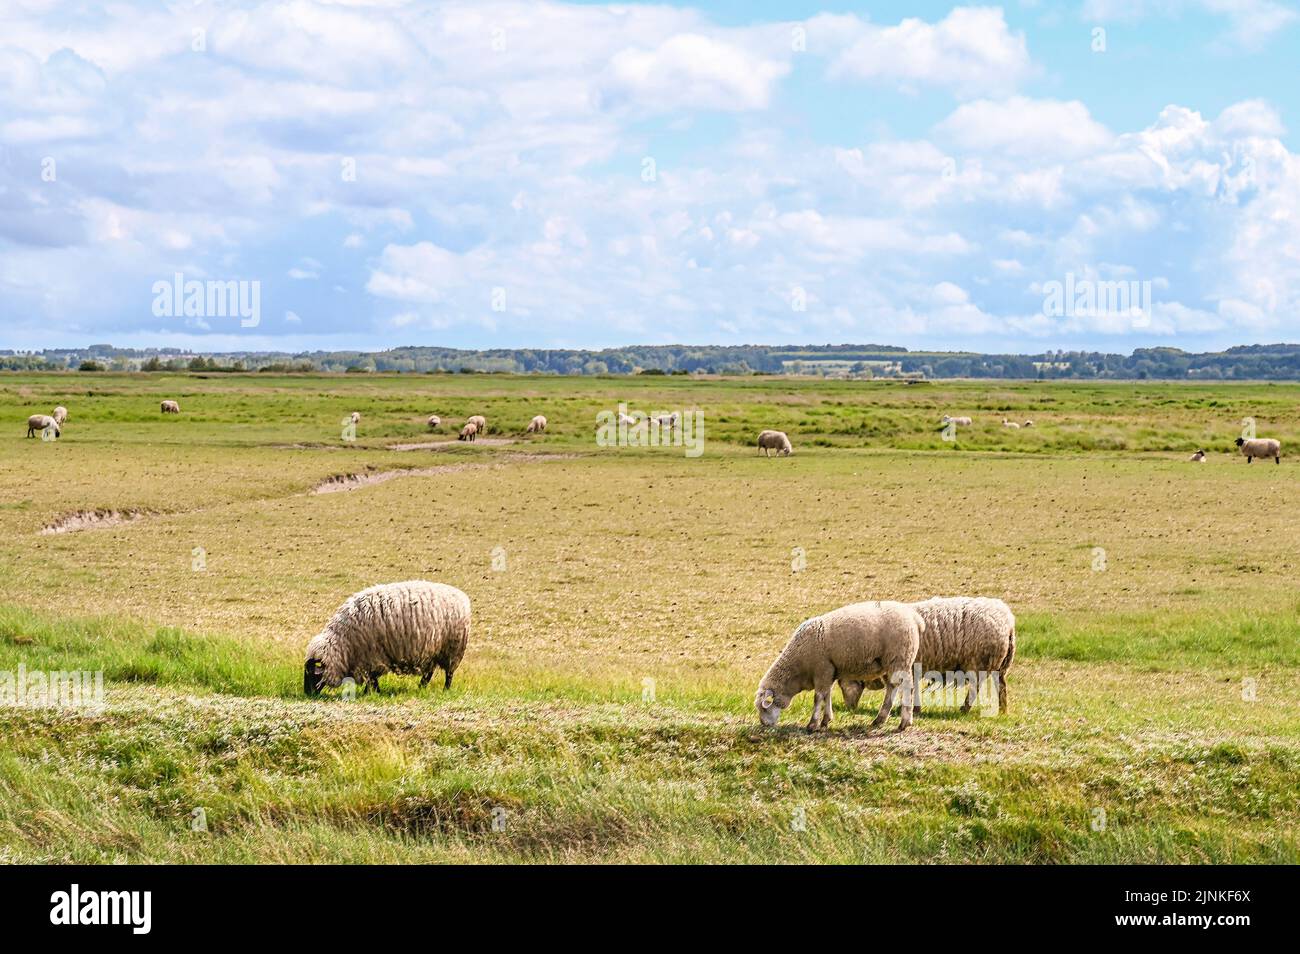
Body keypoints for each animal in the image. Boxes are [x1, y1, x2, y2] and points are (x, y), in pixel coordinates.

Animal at [304, 580, 470, 695]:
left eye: (312, 675)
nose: (307, 694)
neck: (343, 643)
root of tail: (463, 597)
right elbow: (372, 678)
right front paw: (373, 692)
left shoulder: (371, 657)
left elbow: (372, 678)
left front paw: (370, 692)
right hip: (434, 651)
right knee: (428, 673)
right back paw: (421, 687)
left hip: (452, 649)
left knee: (449, 673)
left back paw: (445, 690)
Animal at [755, 601, 924, 733]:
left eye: (764, 708)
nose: (763, 724)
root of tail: (915, 618)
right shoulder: (828, 672)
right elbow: (827, 695)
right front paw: (825, 721)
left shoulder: (821, 669)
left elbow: (818, 698)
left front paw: (812, 724)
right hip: (889, 663)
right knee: (892, 687)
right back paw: (879, 719)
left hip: (900, 658)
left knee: (907, 687)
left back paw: (905, 722)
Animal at [839, 597, 1016, 717]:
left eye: (842, 683)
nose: (849, 709)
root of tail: (1008, 621)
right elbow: (914, 687)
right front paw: (915, 708)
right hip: (1000, 666)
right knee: (1001, 686)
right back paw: (1003, 710)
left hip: (979, 662)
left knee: (974, 688)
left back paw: (964, 709)